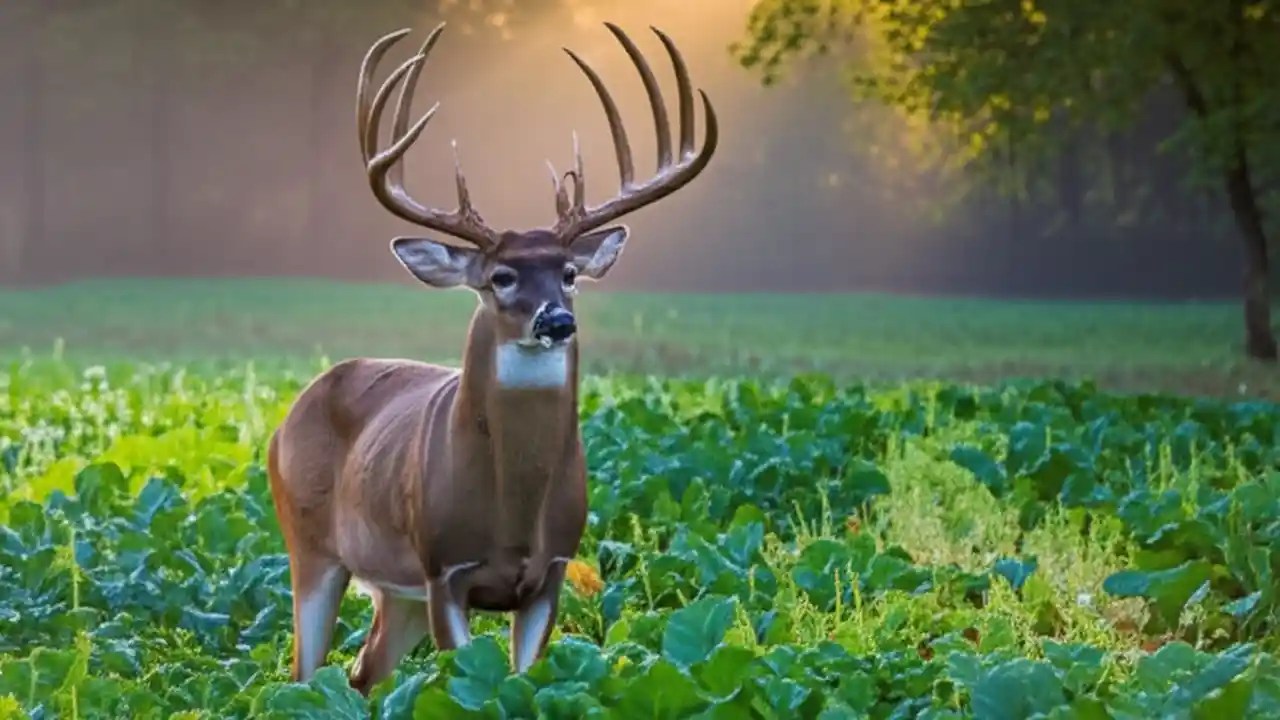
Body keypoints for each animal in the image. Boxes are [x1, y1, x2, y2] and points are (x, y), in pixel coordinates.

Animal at [266, 20, 717, 694]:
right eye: (502, 277)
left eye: (569, 273)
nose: (556, 320)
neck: (513, 516)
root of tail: (291, 412)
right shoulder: (444, 569)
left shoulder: (551, 571)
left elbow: (524, 681)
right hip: (309, 544)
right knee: (303, 673)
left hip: (395, 596)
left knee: (361, 676)